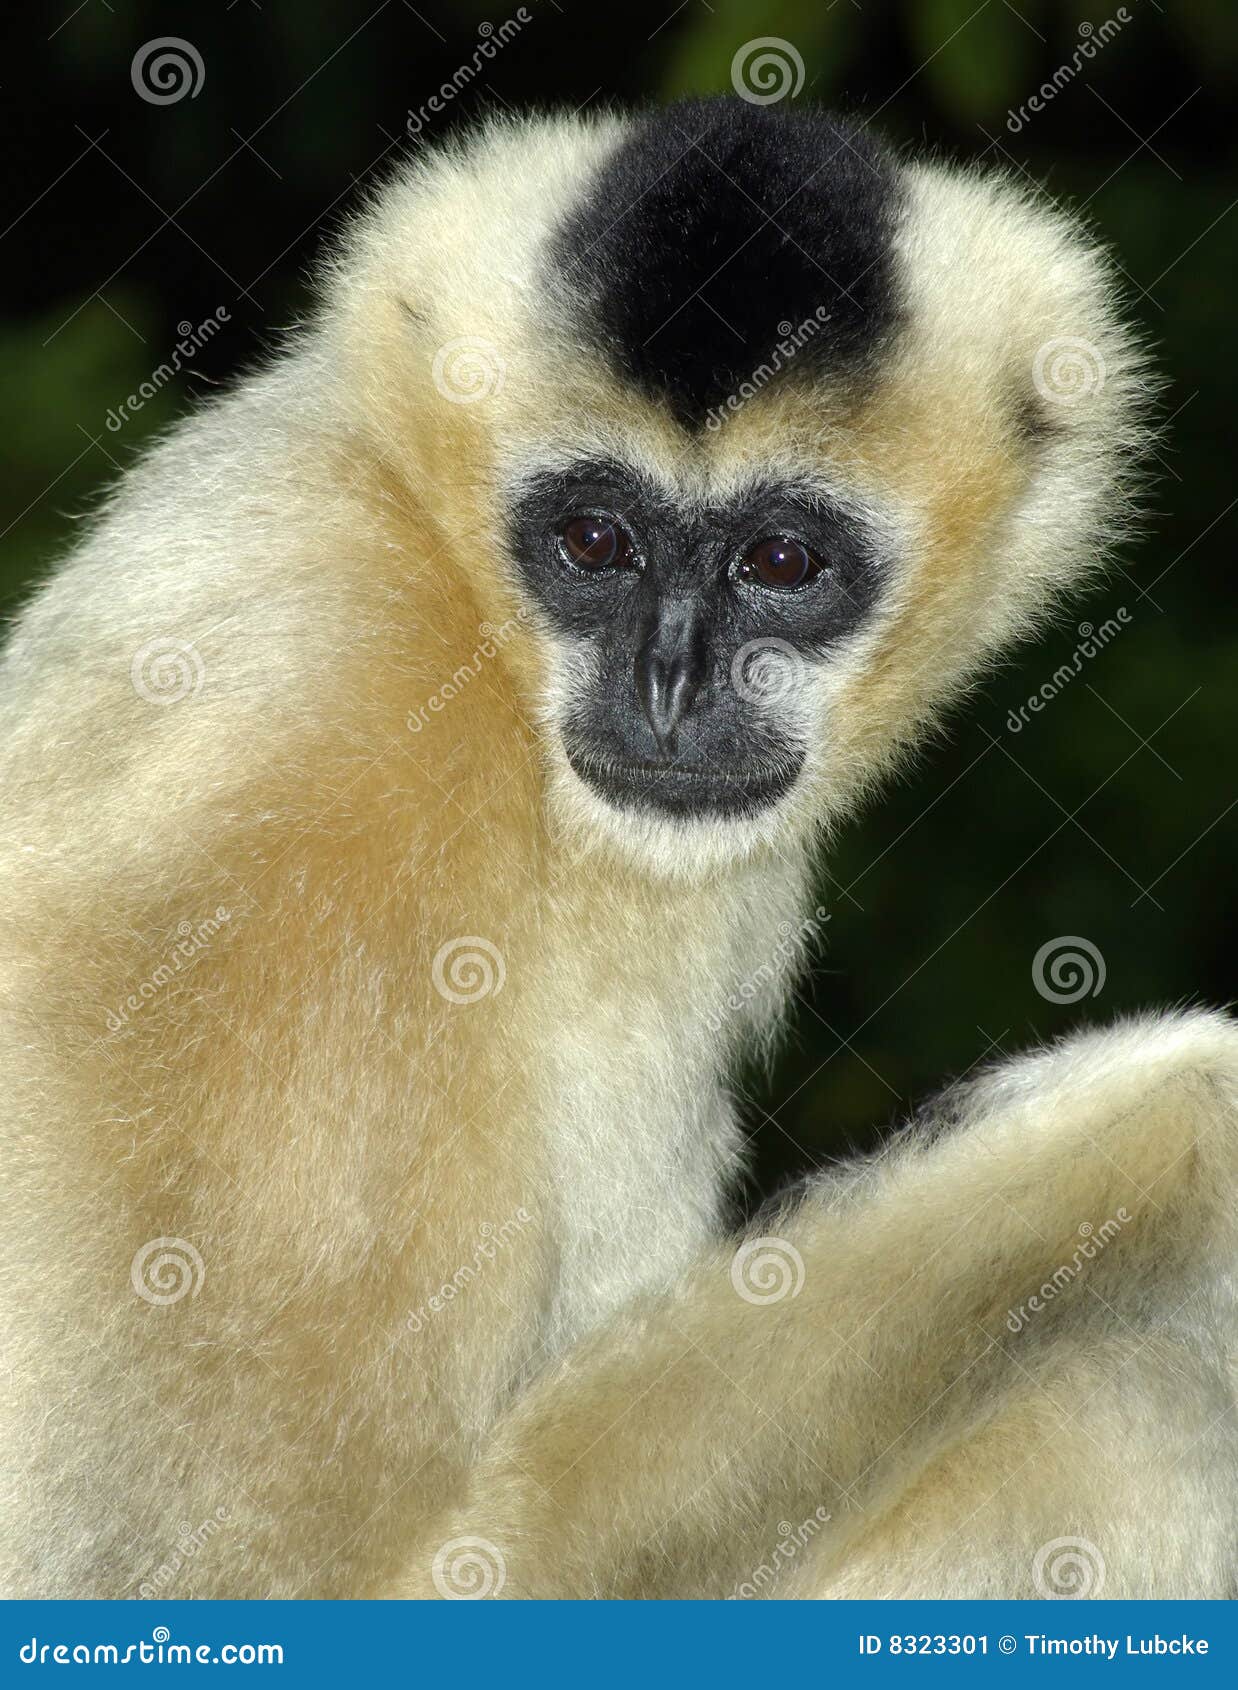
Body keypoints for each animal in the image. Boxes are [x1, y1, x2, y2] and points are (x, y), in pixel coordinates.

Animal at [0, 94, 1234, 1602]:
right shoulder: (291, 745)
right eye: (592, 539)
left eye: (780, 560)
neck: (466, 612)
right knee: (1127, 1403)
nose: (668, 680)